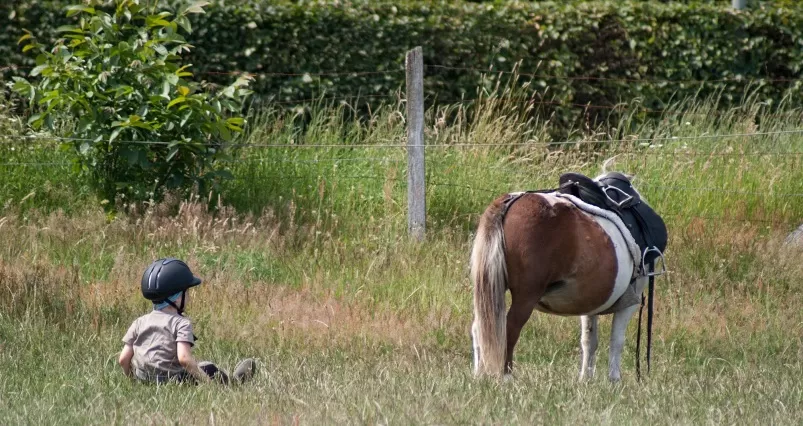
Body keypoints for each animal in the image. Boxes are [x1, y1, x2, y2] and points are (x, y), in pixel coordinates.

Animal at [472, 171, 652, 382]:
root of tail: (510, 201)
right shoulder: (630, 301)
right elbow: (617, 341)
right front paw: (614, 380)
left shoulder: (590, 303)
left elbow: (589, 340)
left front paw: (585, 379)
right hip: (526, 297)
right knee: (509, 330)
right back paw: (506, 377)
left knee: (480, 329)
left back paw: (479, 374)